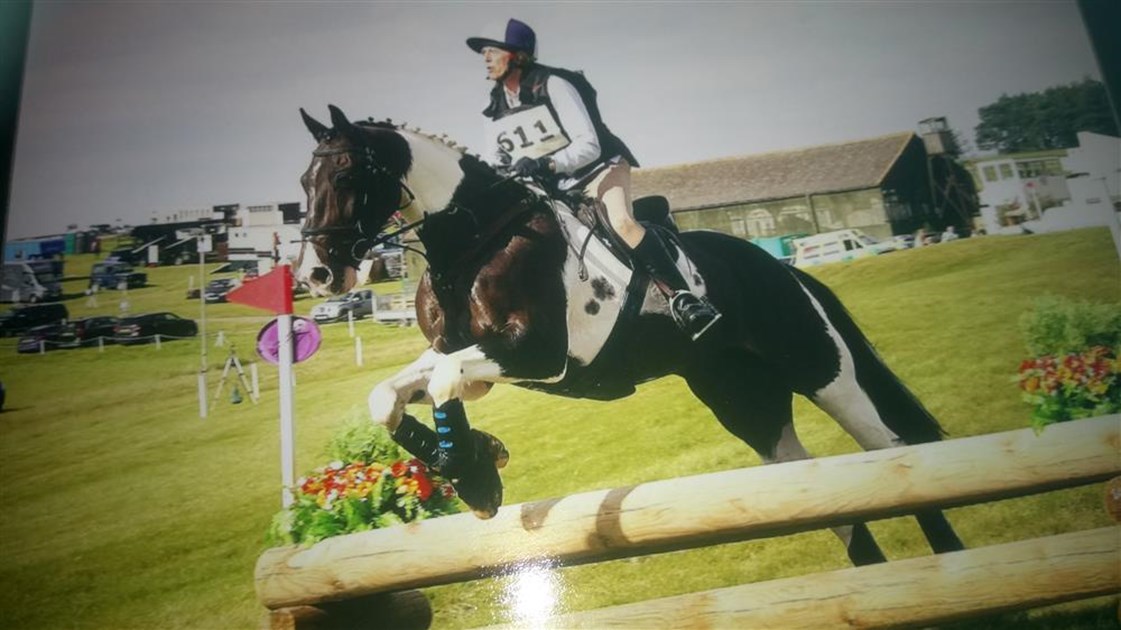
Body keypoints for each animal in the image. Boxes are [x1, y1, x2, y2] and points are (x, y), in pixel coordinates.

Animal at [294, 104, 964, 567]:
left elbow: (441, 380)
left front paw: (473, 468)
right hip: (744, 402)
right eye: (303, 183)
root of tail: (781, 267)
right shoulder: (462, 351)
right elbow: (395, 393)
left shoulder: (536, 353)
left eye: (347, 172)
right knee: (820, 496)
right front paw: (472, 465)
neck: (474, 243)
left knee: (892, 453)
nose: (318, 275)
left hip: (824, 372)